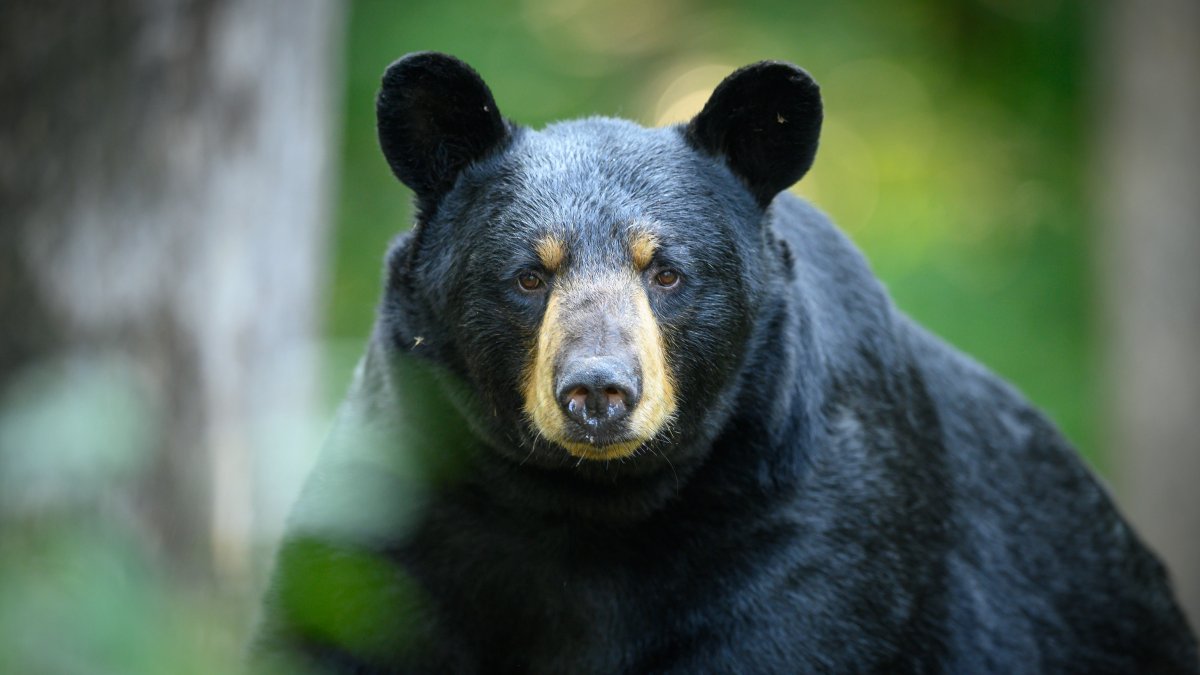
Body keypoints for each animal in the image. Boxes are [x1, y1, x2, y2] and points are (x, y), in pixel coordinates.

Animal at [253, 52, 1198, 673]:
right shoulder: (399, 506)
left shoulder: (808, 535)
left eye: (666, 270)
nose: (598, 391)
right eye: (529, 273)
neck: (584, 509)